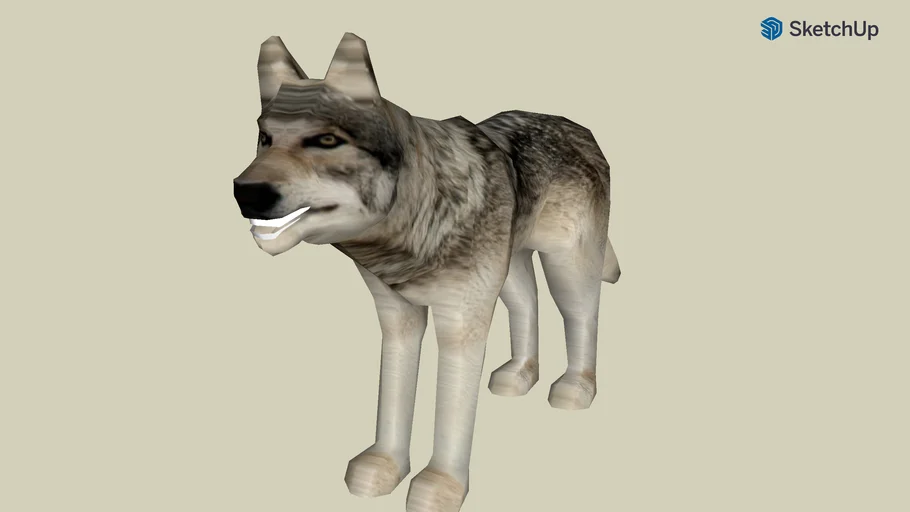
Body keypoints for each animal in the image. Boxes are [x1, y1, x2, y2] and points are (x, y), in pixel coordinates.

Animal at [232, 33, 621, 512]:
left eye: (325, 140)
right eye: (264, 139)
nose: (246, 193)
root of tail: (578, 127)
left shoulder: (460, 322)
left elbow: (452, 407)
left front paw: (440, 486)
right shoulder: (398, 318)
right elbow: (395, 391)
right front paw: (384, 466)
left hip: (566, 266)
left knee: (580, 315)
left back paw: (576, 388)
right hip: (509, 270)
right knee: (527, 304)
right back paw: (520, 374)